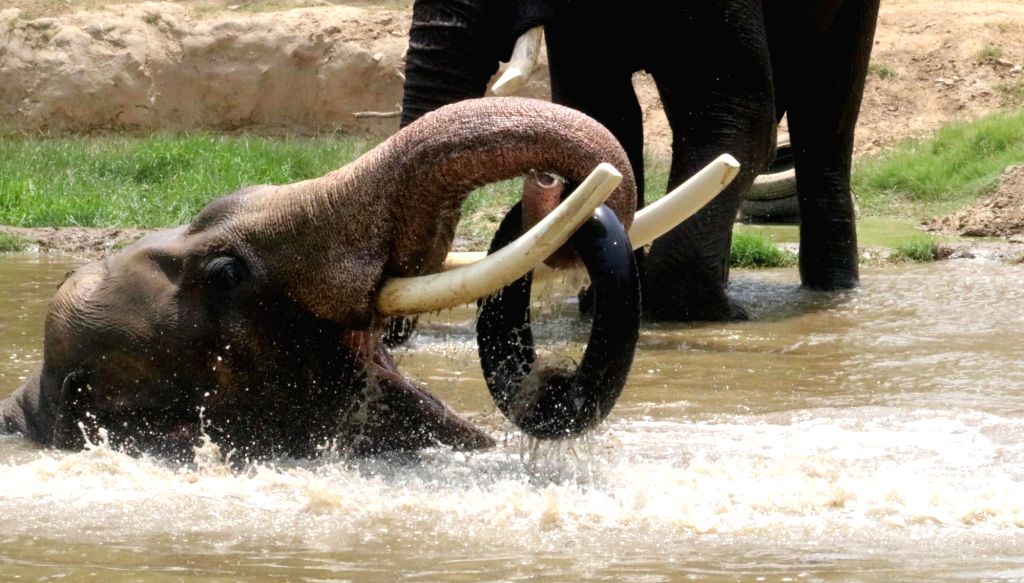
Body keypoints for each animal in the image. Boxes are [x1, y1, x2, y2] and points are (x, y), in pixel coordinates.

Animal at [401, 0, 881, 321]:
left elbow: (732, 115)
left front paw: (695, 315)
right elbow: (600, 108)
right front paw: (606, 299)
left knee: (825, 112)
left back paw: (833, 292)